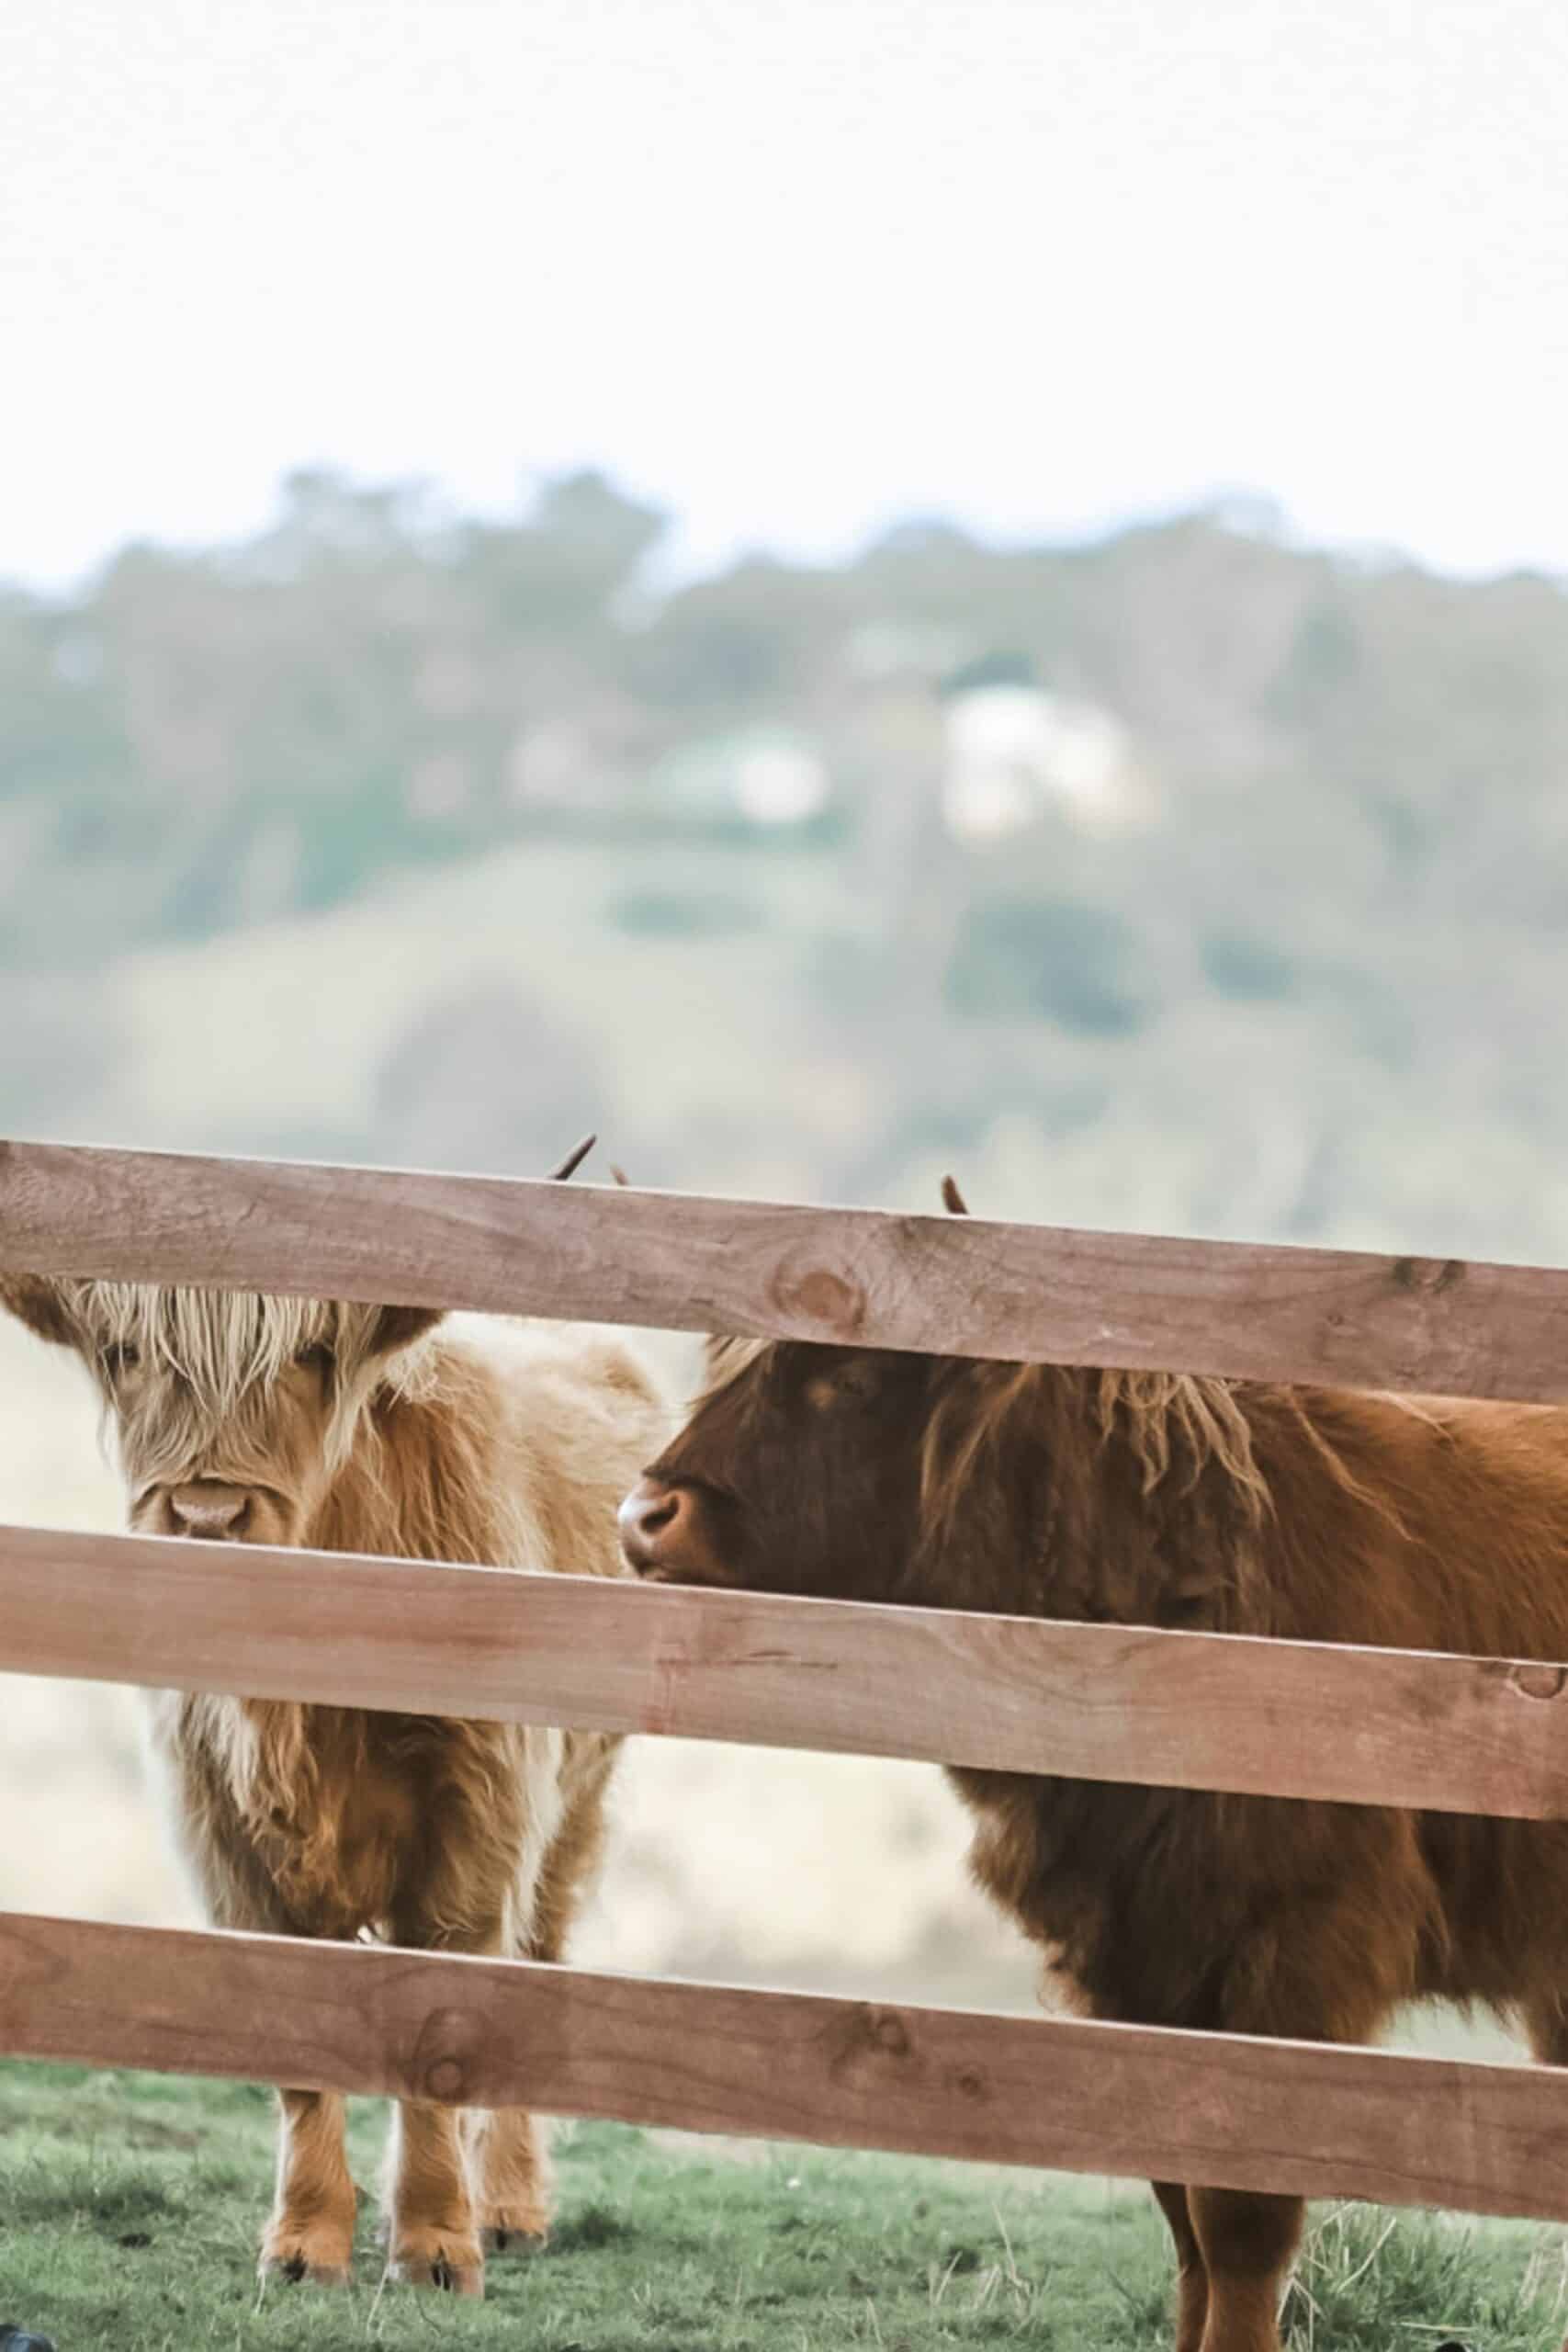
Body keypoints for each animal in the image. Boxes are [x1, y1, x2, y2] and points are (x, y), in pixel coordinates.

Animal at [1, 1145, 669, 2300]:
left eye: (311, 1355)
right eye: (127, 1353)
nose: (209, 1515)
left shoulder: (479, 1813)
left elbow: (445, 2016)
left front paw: (438, 2244)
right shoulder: (219, 1825)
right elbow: (298, 2043)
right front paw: (306, 2243)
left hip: (576, 1798)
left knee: (538, 1960)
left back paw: (511, 2208)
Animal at [618, 1187, 1568, 2352]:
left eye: (850, 1375)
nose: (646, 1514)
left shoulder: (1298, 1937)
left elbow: (1241, 2206)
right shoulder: (1131, 1952)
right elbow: (1178, 2199)